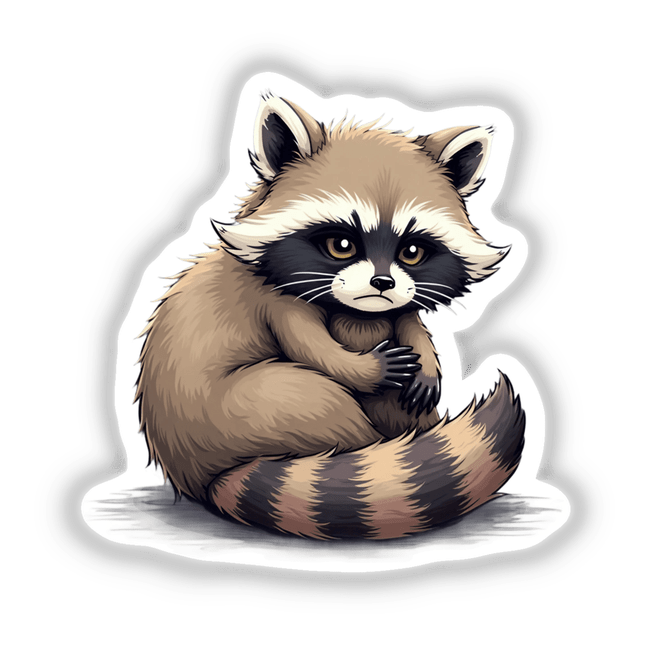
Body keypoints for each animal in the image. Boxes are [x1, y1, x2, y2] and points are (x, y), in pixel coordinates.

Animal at [136, 95, 525, 540]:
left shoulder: (396, 302)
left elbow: (408, 322)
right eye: (341, 245)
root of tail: (191, 472)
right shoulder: (273, 297)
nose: (382, 283)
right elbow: (313, 348)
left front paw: (427, 362)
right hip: (248, 411)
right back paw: (373, 444)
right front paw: (367, 369)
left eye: (412, 251)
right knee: (319, 397)